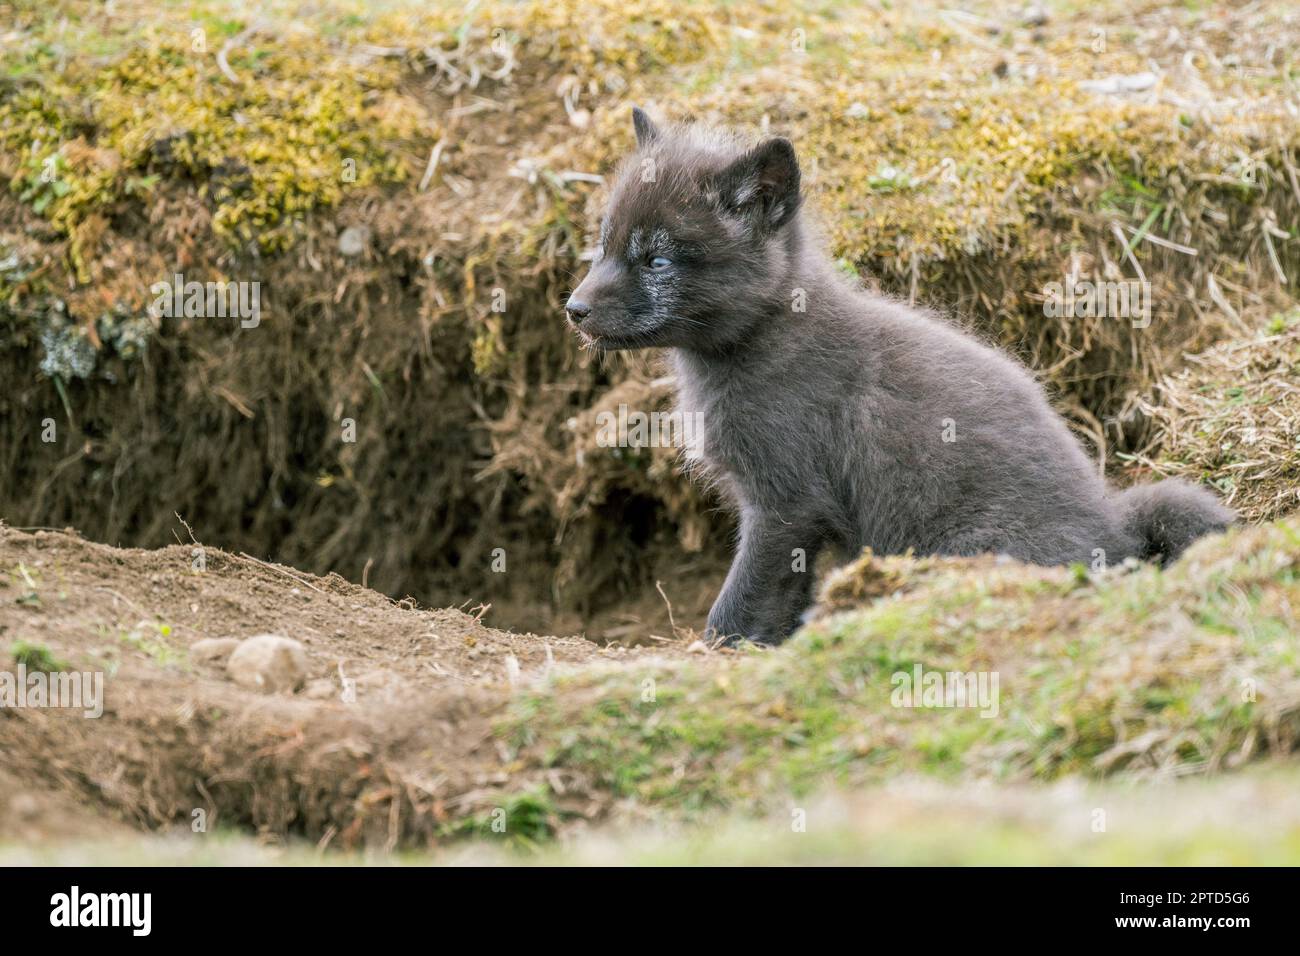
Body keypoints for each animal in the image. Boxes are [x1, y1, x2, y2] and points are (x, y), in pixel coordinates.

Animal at [565, 106, 1234, 645]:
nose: (574, 309)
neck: (759, 339)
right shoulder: (795, 515)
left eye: (658, 259)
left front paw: (718, 651)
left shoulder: (786, 504)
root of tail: (1115, 529)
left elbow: (741, 601)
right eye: (604, 243)